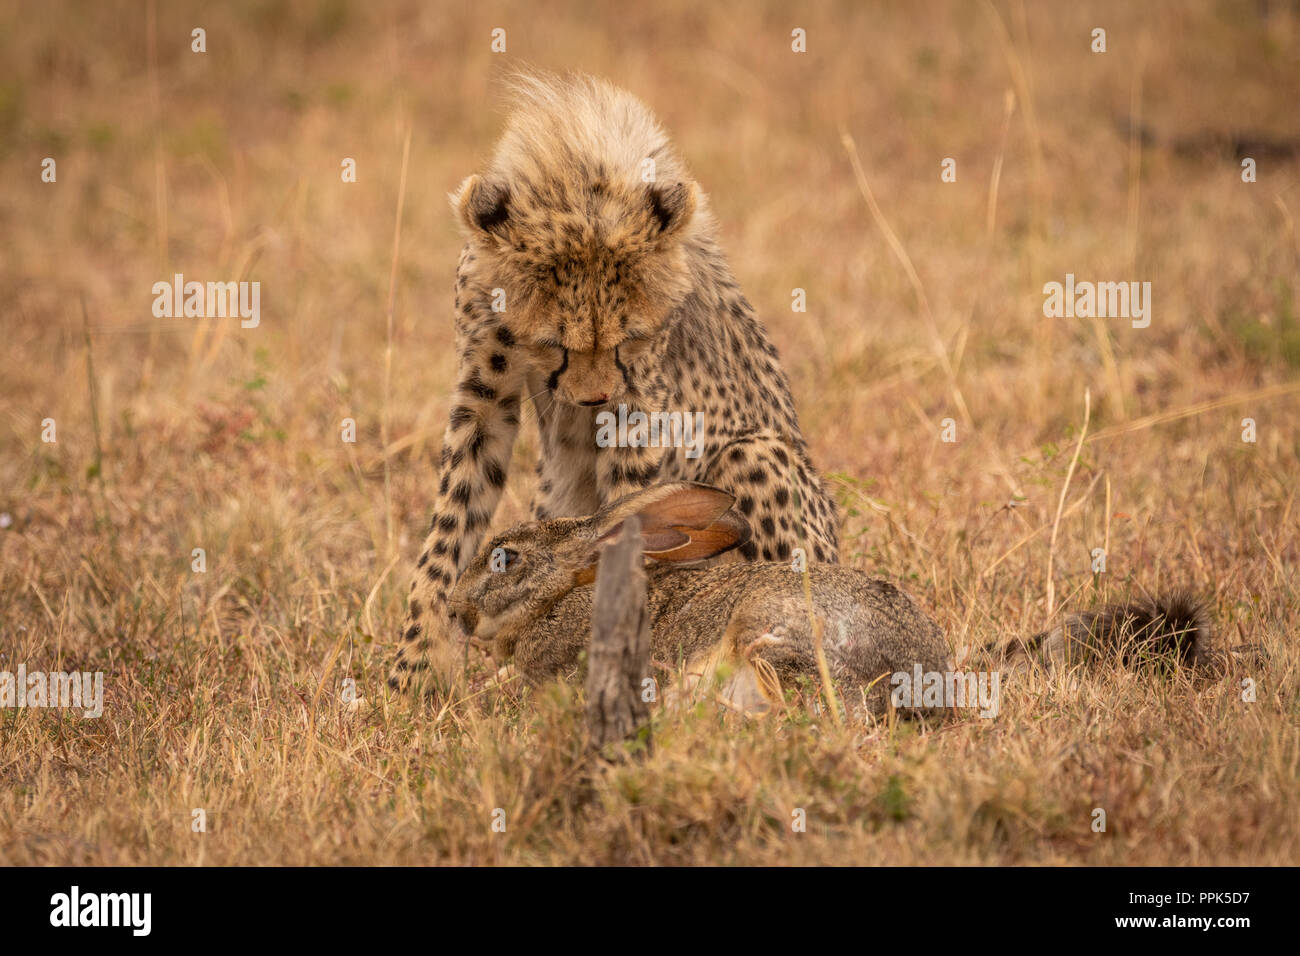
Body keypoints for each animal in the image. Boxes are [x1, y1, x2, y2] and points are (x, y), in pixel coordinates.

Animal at [390, 72, 840, 692]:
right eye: (553, 343)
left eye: (630, 337)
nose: (592, 398)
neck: (579, 175)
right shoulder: (483, 391)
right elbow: (450, 525)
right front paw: (412, 667)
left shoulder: (639, 407)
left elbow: (629, 512)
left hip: (755, 452)